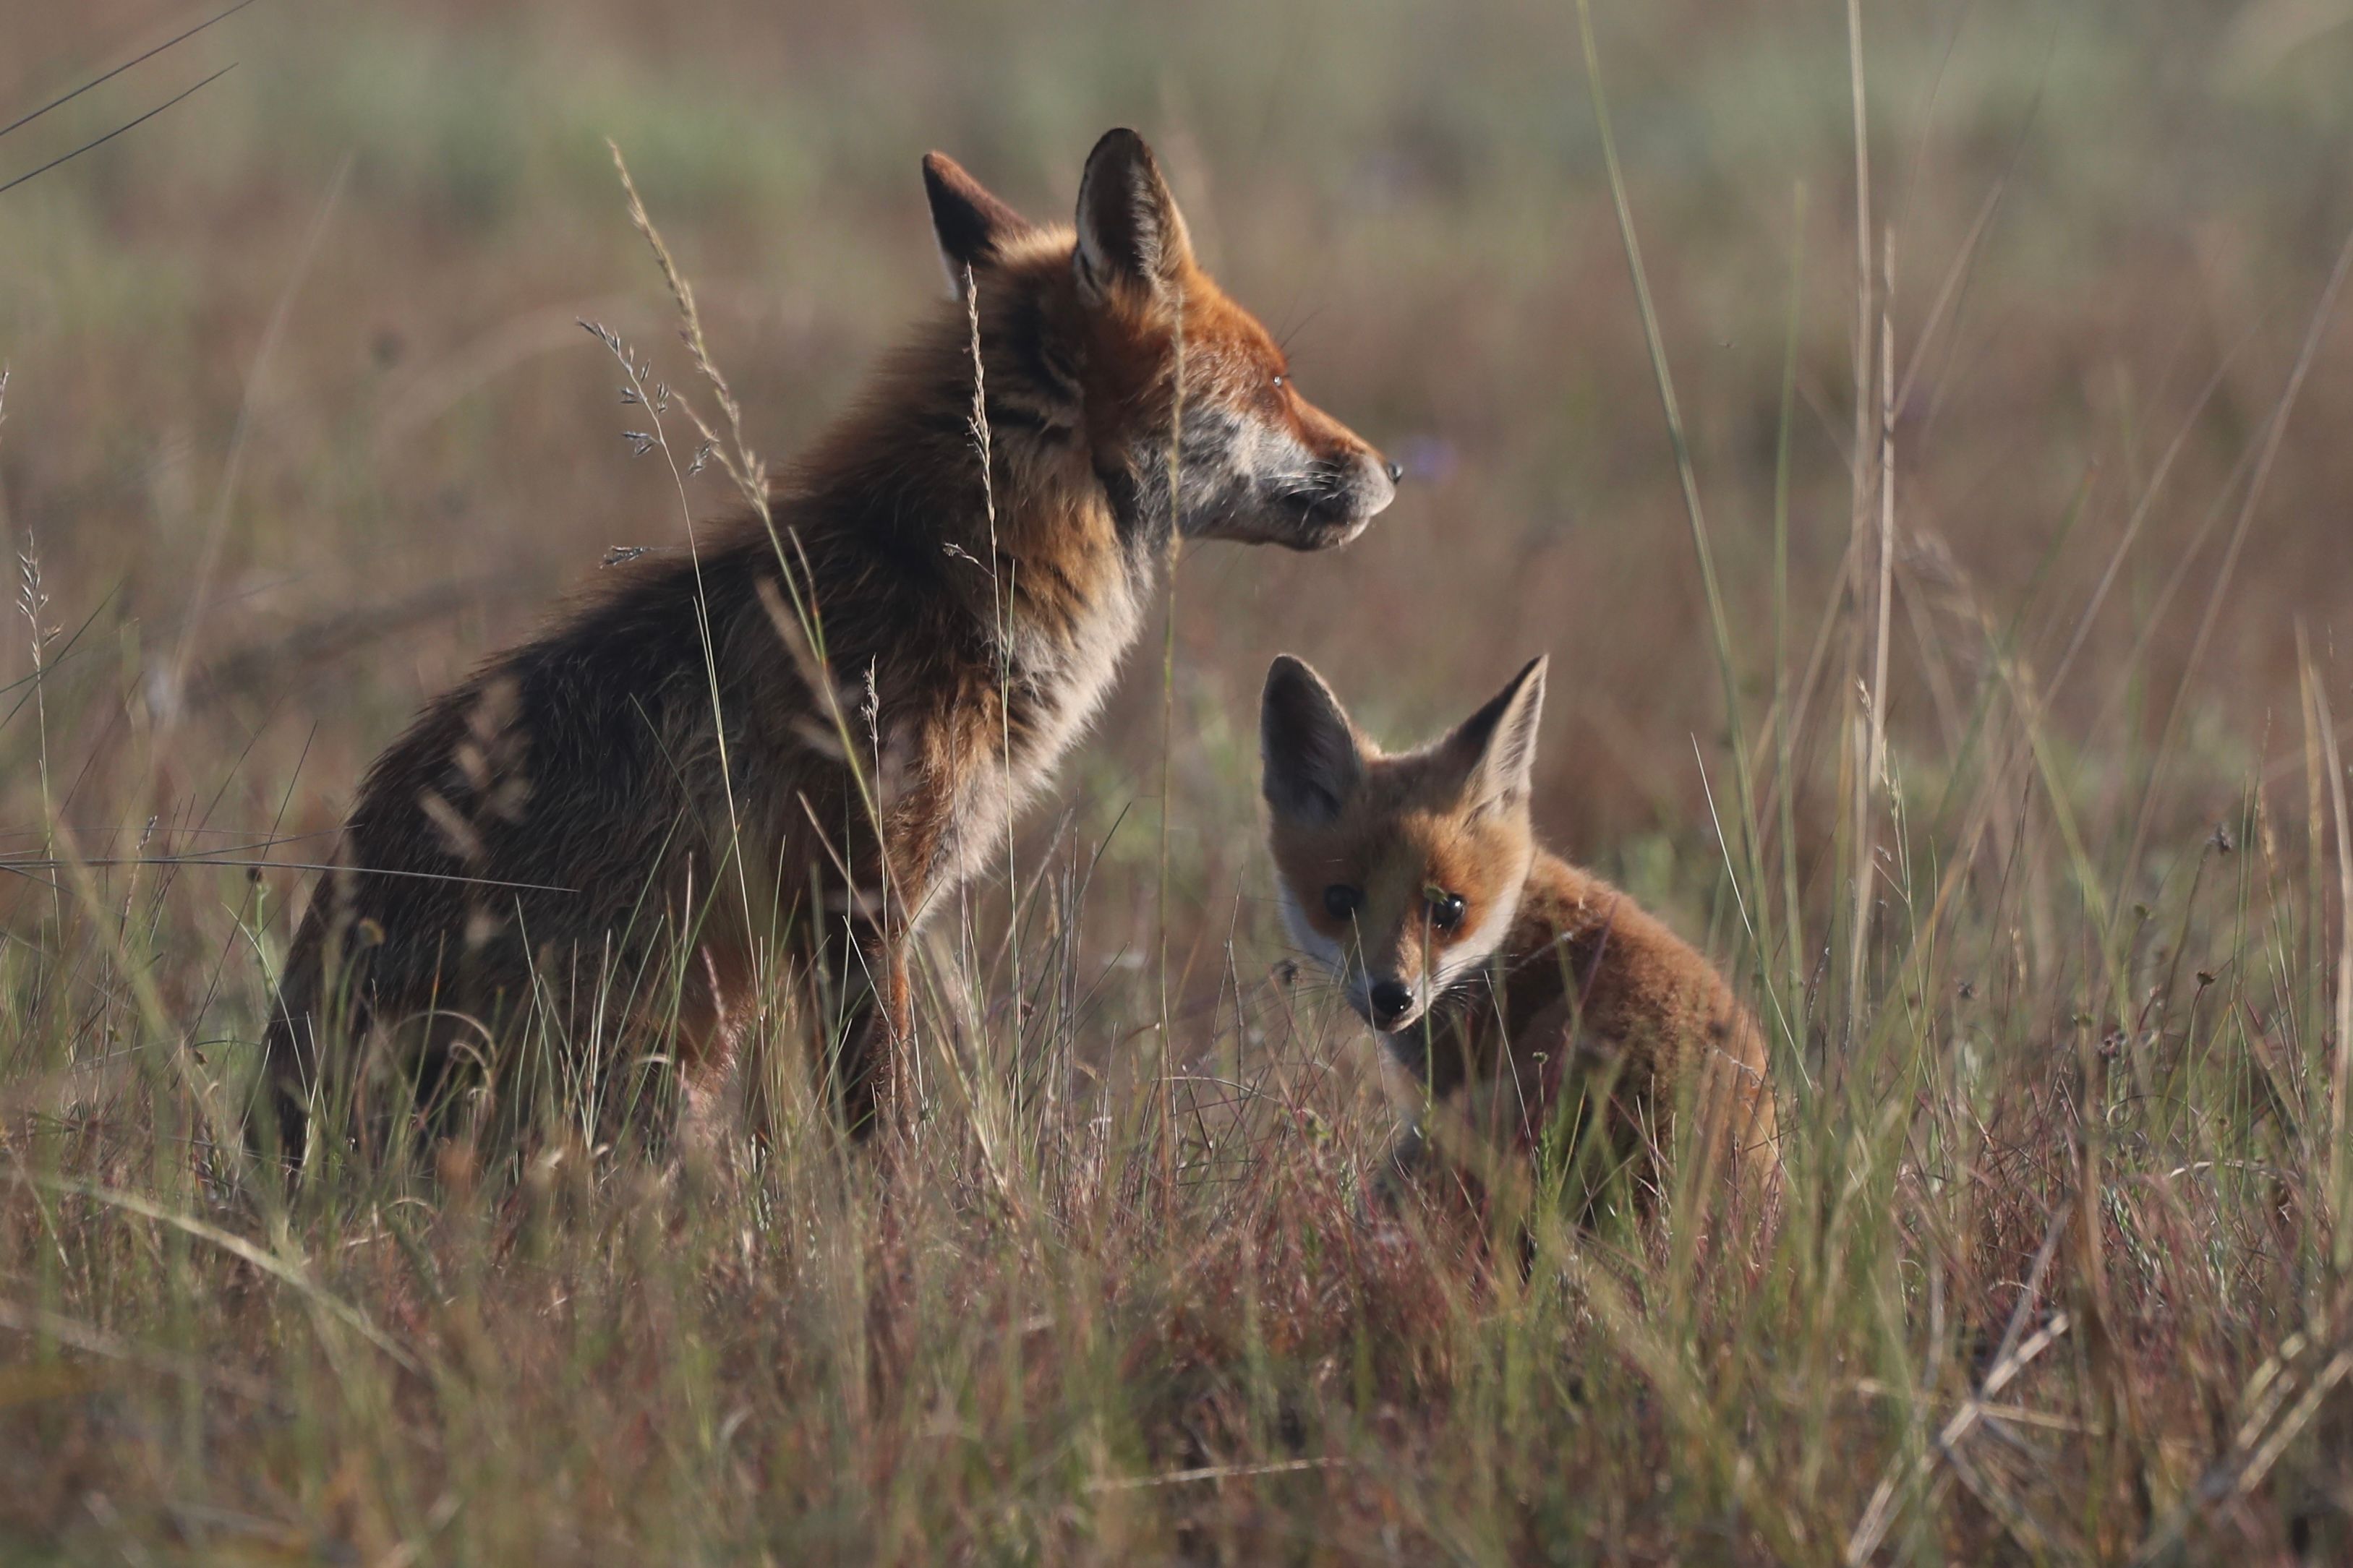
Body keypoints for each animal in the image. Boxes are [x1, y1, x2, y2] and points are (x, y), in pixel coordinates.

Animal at [256, 129, 1398, 1165]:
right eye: (1275, 383)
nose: (1390, 469)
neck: (936, 575)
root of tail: (280, 1147)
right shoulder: (856, 908)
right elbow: (882, 1136)